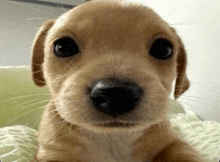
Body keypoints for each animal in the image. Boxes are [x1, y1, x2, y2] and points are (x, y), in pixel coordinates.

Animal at [31, 0, 205, 161]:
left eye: (163, 49)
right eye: (63, 47)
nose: (116, 94)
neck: (113, 138)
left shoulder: (174, 143)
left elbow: (184, 152)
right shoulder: (54, 153)